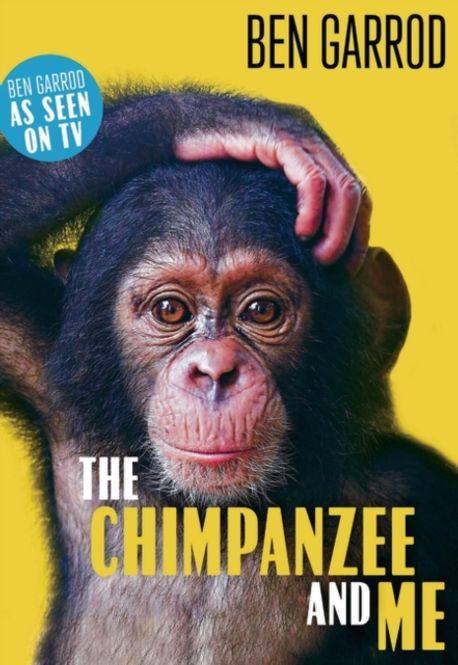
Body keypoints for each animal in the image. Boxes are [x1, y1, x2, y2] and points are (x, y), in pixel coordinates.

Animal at [0, 88, 456, 665]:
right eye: (170, 309)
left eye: (261, 311)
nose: (215, 371)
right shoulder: (47, 366)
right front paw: (233, 124)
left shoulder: (420, 498)